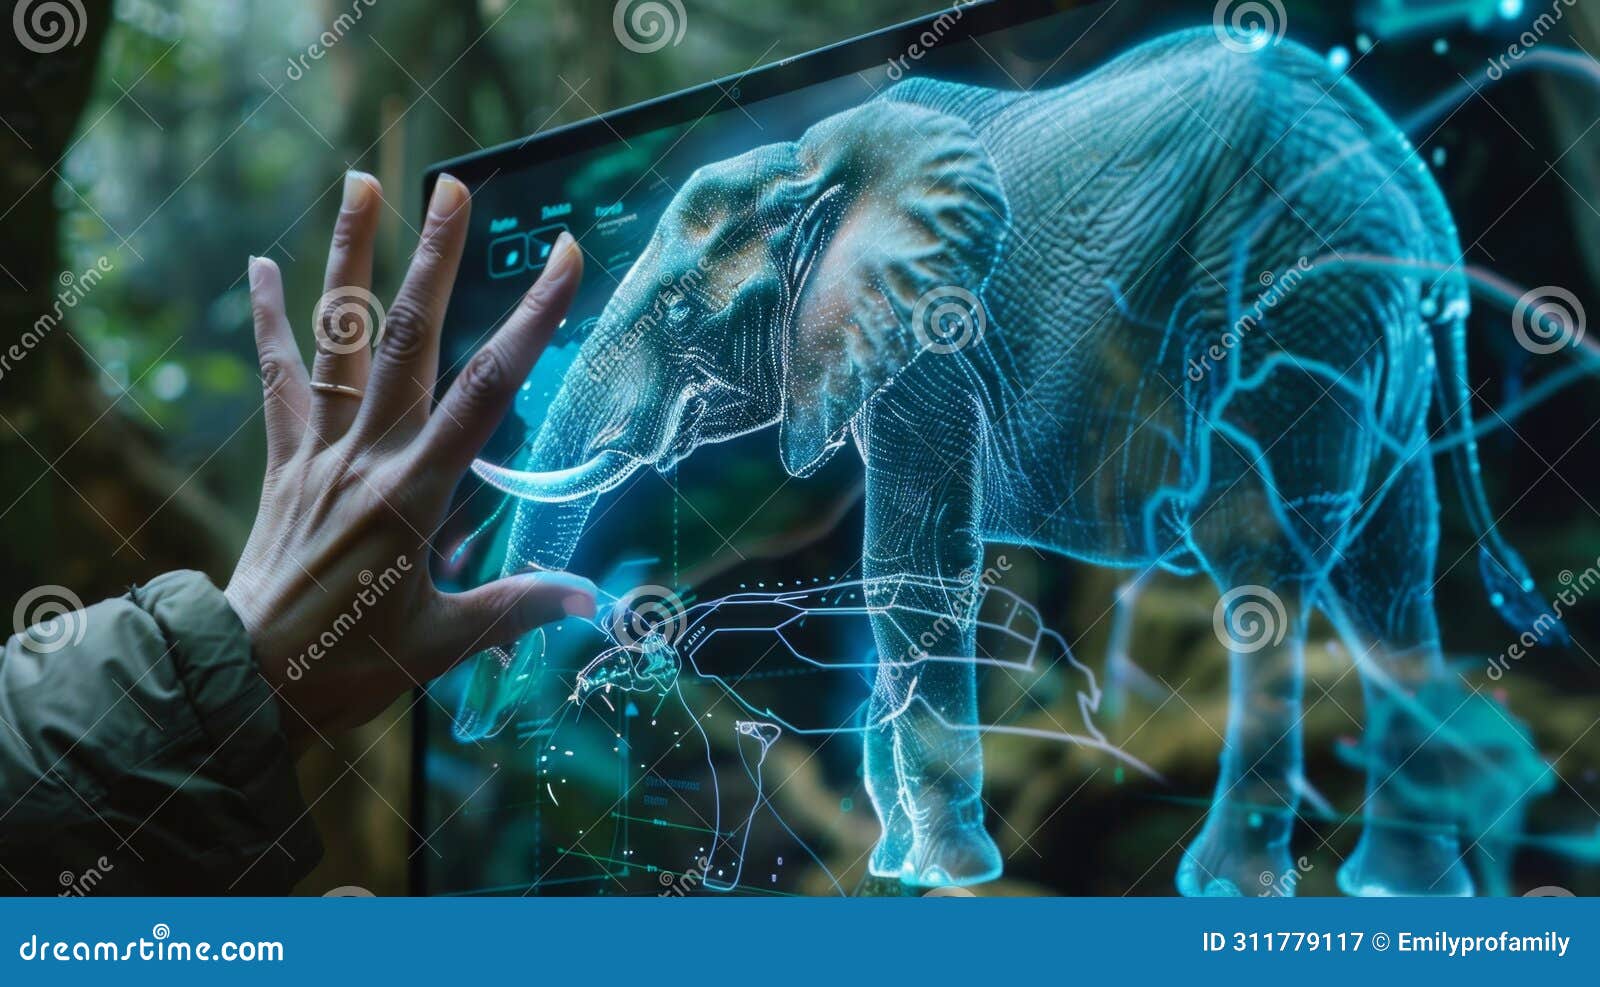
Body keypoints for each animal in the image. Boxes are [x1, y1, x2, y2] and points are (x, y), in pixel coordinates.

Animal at [462, 28, 1556, 894]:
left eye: (683, 312)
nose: (481, 734)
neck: (817, 162)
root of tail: (1414, 189)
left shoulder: (939, 339)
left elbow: (912, 562)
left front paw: (952, 872)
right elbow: (898, 574)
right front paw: (902, 866)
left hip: (1287, 302)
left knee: (1265, 557)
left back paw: (1227, 885)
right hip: (1364, 331)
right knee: (1389, 573)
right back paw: (1402, 888)